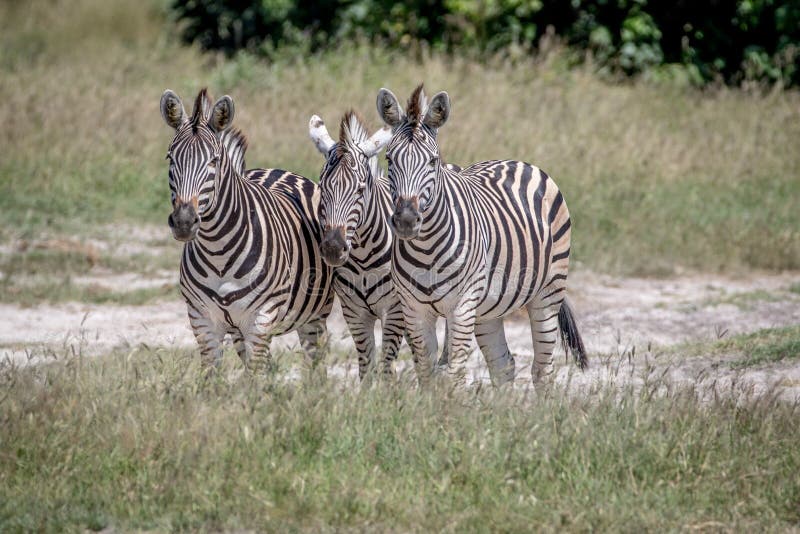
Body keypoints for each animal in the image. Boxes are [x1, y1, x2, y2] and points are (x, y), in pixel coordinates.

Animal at [159, 88, 334, 373]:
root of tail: (275, 170)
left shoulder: (262, 316)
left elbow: (256, 373)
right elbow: (212, 374)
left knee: (314, 361)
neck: (217, 251)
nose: (184, 222)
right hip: (238, 330)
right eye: (170, 158)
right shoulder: (201, 318)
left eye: (214, 161)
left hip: (314, 313)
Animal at [375, 84, 587, 390]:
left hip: (548, 292)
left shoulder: (462, 307)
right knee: (503, 365)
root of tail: (517, 162)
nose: (405, 220)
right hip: (488, 309)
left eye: (433, 161)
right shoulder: (414, 309)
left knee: (542, 371)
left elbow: (452, 376)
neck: (426, 248)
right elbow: (427, 373)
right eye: (389, 159)